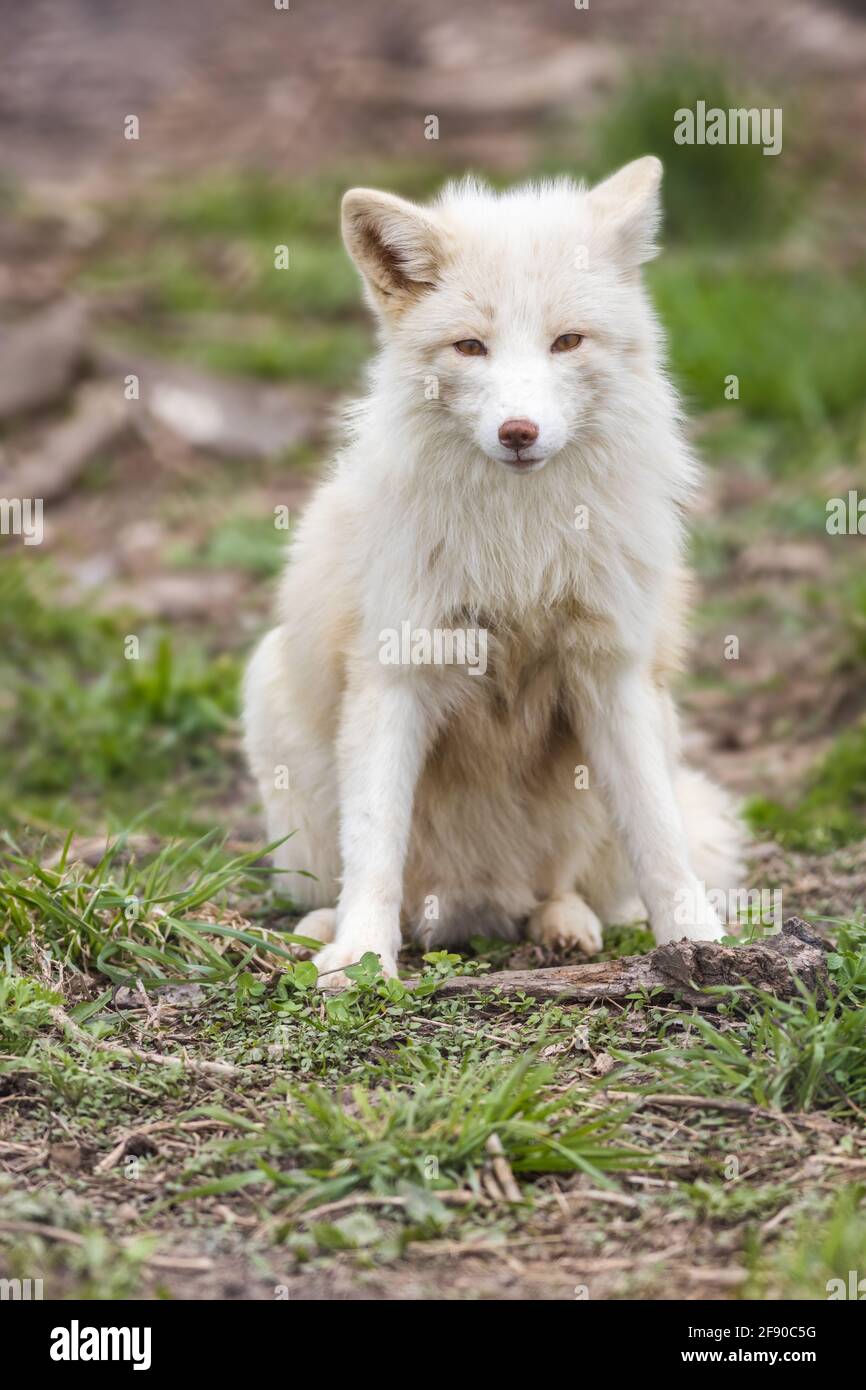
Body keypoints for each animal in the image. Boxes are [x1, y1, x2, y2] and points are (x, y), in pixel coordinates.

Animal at [243, 156, 745, 989]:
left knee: (572, 885)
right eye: (470, 347)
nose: (519, 432)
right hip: (271, 699)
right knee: (343, 883)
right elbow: (374, 844)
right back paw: (325, 929)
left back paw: (565, 926)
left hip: (649, 732)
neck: (520, 551)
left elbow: (660, 838)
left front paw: (701, 944)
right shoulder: (396, 669)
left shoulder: (611, 669)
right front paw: (360, 956)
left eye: (567, 341)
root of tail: (475, 907)